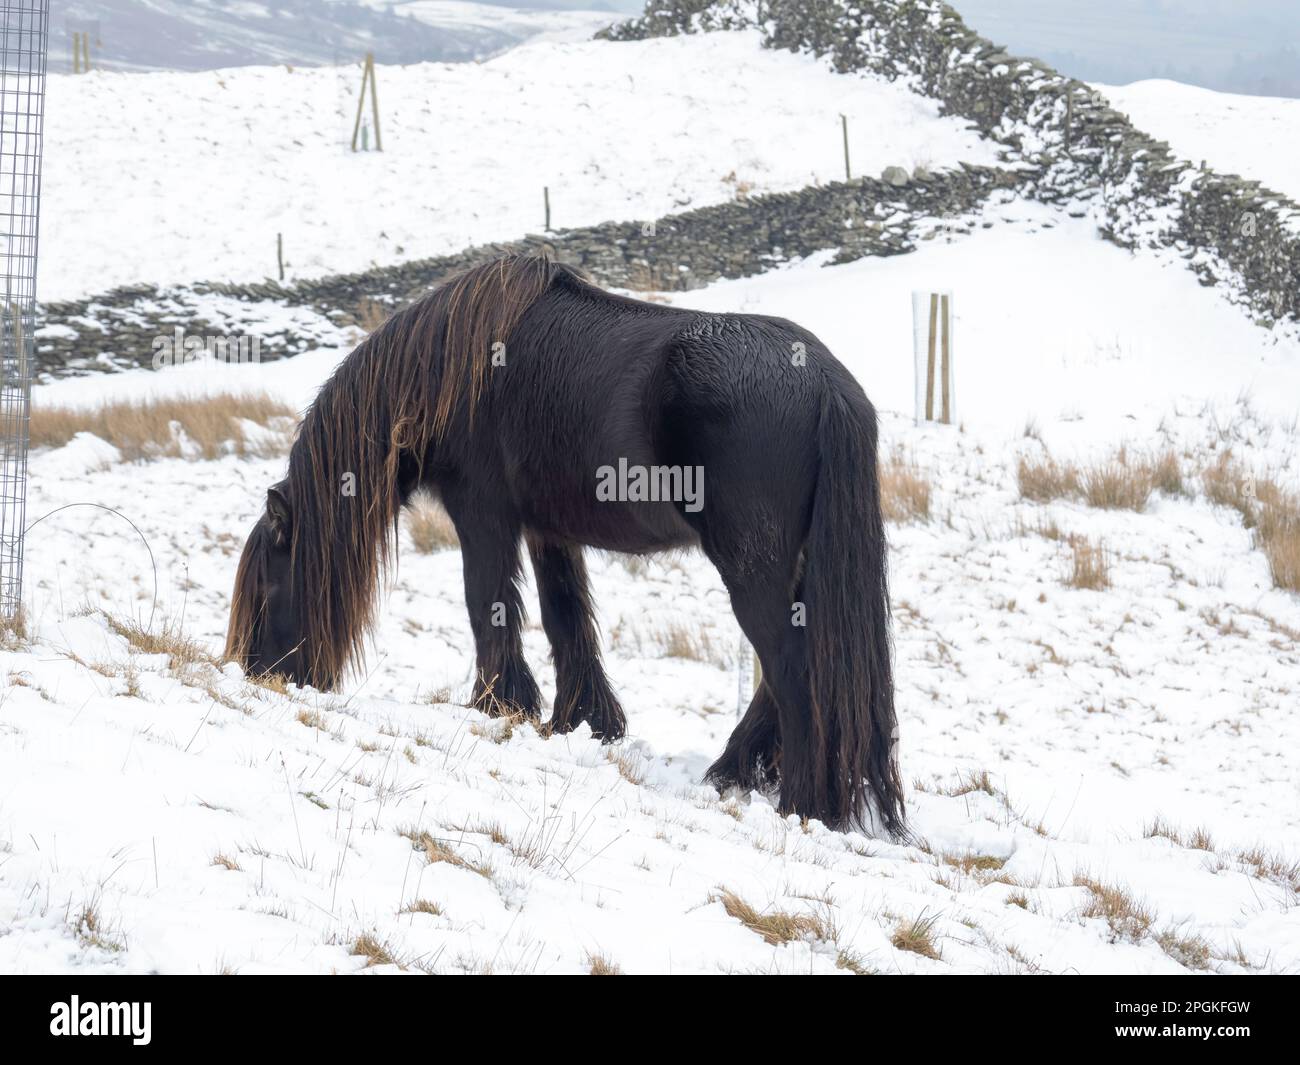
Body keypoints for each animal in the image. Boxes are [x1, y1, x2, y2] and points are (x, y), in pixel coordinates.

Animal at [226, 255, 904, 837]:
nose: (255, 674)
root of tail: (825, 384)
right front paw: (582, 721)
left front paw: (499, 705)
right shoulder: (546, 529)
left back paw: (800, 805)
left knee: (792, 671)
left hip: (751, 567)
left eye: (269, 584)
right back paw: (733, 773)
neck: (454, 371)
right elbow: (565, 615)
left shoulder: (482, 513)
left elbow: (489, 603)